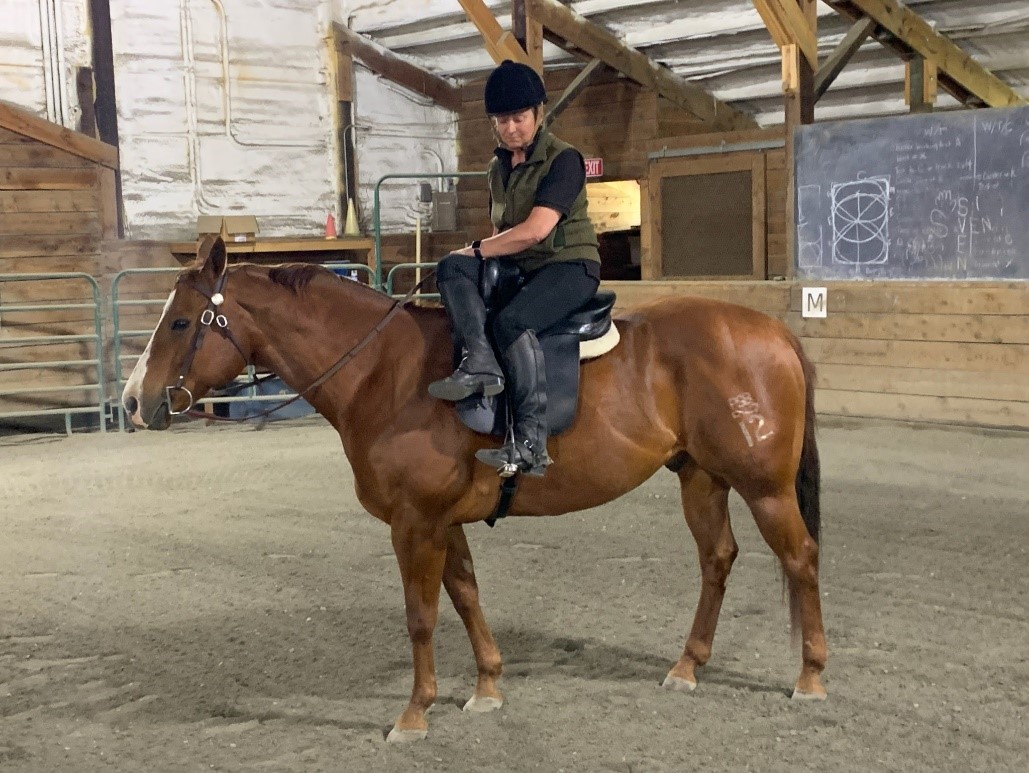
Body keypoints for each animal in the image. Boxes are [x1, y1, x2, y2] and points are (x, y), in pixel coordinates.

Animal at [122, 236, 827, 742]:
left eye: (180, 323)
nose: (132, 402)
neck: (386, 371)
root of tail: (772, 333)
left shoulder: (414, 522)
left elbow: (421, 616)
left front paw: (414, 714)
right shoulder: (442, 521)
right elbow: (464, 596)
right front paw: (486, 687)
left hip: (764, 488)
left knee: (800, 560)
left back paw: (811, 676)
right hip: (701, 479)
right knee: (717, 560)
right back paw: (687, 667)